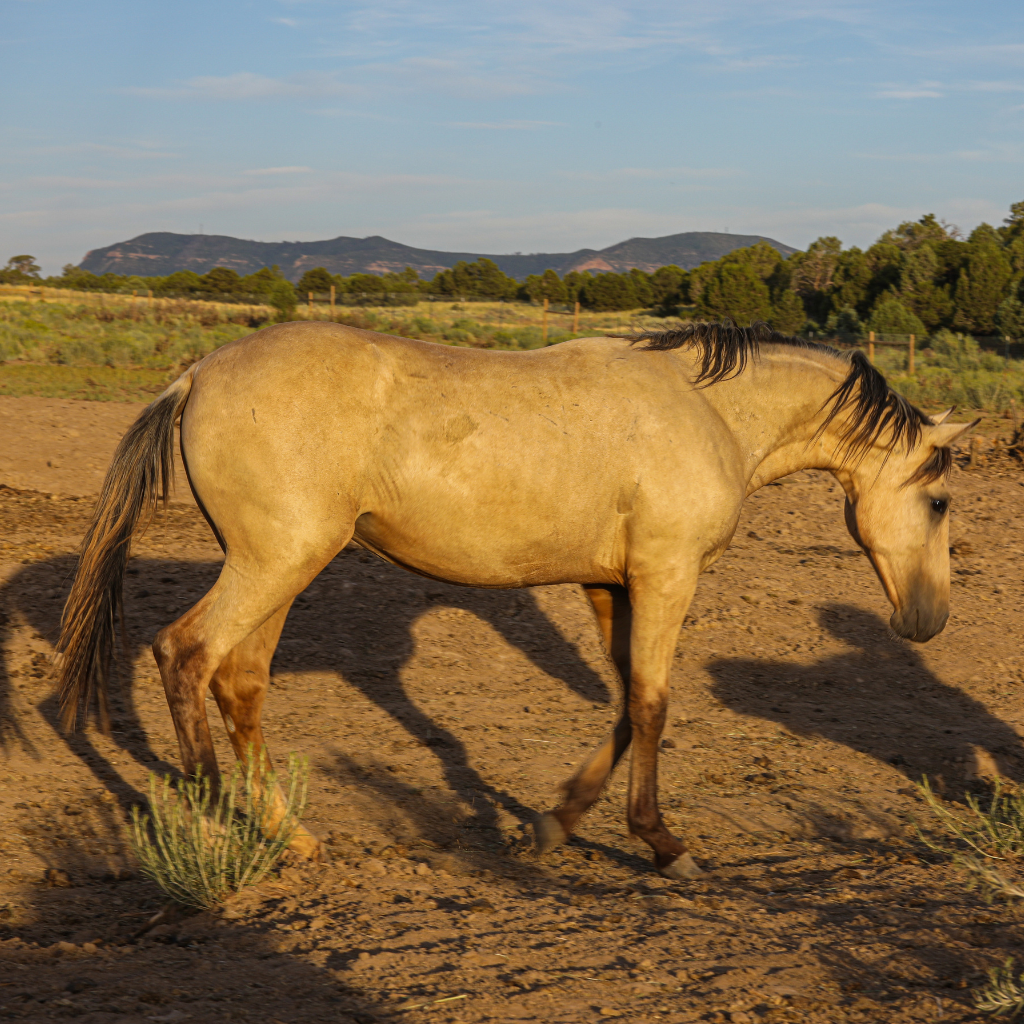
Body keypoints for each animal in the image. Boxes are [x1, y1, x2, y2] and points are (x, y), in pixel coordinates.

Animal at [57, 320, 975, 879]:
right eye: (939, 502)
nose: (929, 621)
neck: (707, 409)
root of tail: (197, 374)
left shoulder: (609, 584)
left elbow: (622, 703)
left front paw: (554, 824)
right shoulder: (666, 576)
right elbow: (653, 702)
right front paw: (663, 845)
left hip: (276, 570)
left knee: (239, 683)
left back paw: (292, 835)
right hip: (274, 563)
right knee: (186, 655)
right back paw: (216, 831)